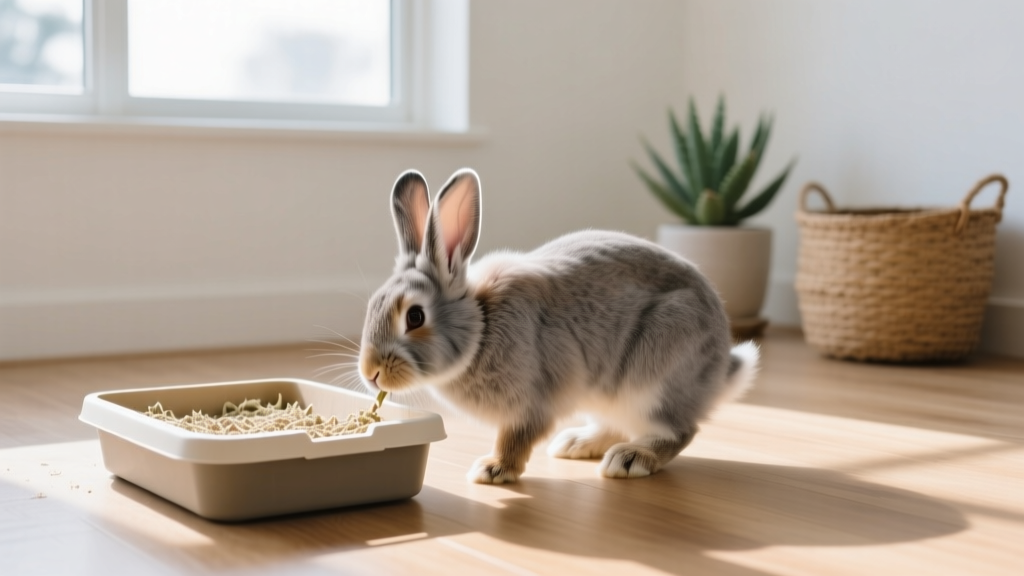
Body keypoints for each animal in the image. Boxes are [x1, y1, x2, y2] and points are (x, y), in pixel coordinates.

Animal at [358, 168, 759, 484]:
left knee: (680, 430)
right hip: (607, 394)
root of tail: (721, 369)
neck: (481, 327)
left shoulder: (532, 402)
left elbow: (515, 439)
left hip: (653, 382)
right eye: (372, 304)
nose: (371, 373)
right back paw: (576, 443)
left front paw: (493, 470)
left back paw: (630, 459)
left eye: (415, 316)